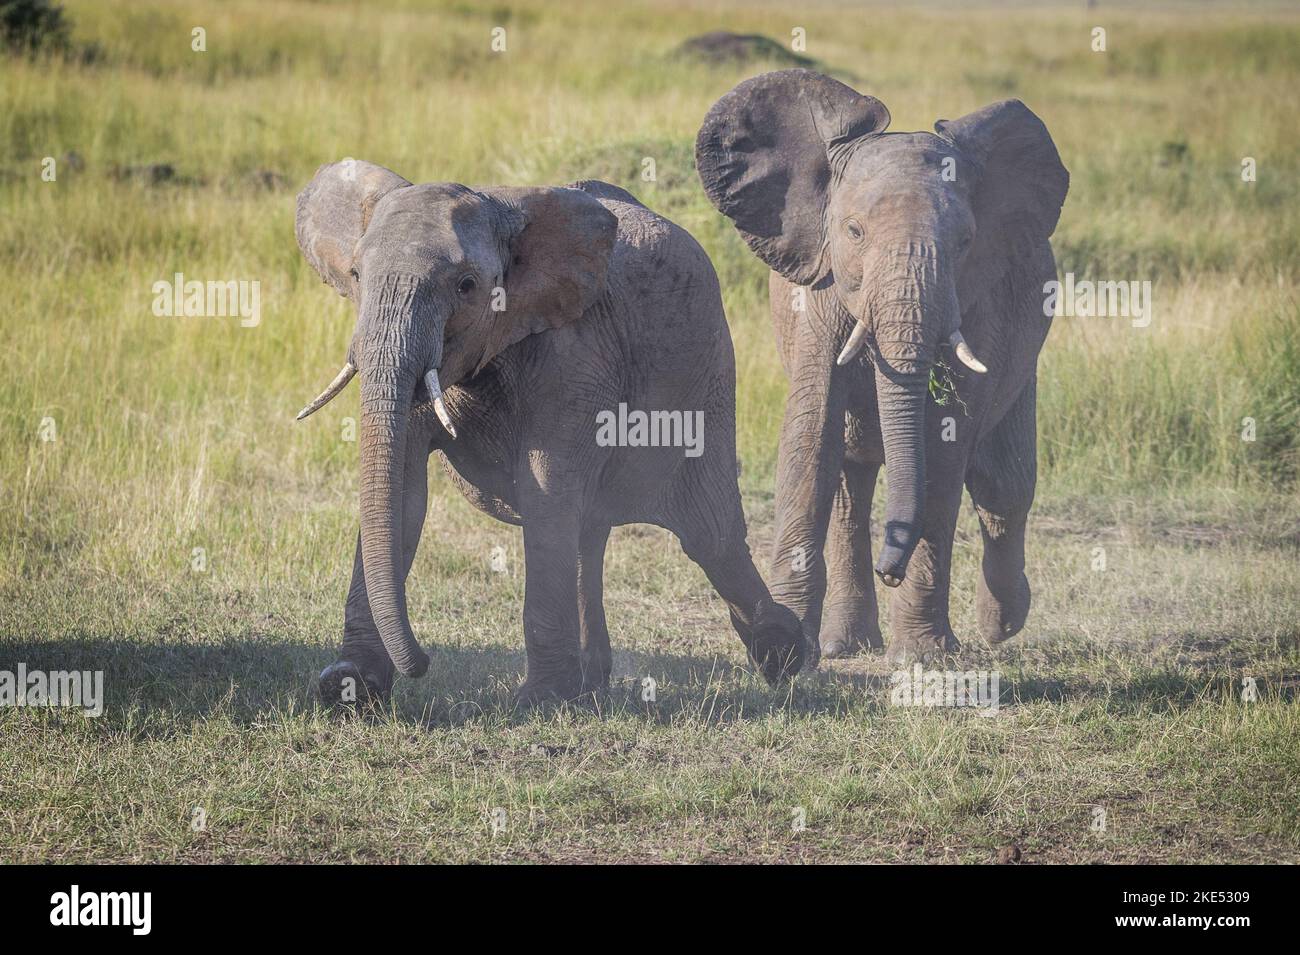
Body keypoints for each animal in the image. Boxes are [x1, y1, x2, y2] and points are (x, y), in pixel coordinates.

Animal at [293, 160, 804, 705]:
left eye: (466, 285)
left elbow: (546, 489)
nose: (424, 662)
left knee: (710, 534)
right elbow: (404, 496)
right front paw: (348, 688)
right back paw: (593, 683)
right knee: (591, 533)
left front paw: (538, 701)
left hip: (707, 373)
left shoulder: (575, 356)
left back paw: (790, 655)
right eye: (355, 276)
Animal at [695, 70, 1069, 666]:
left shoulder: (978, 304)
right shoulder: (818, 292)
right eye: (853, 232)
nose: (887, 570)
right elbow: (811, 438)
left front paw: (923, 658)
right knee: (852, 479)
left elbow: (945, 448)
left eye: (965, 241)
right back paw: (845, 645)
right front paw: (788, 646)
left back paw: (1001, 626)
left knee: (1002, 485)